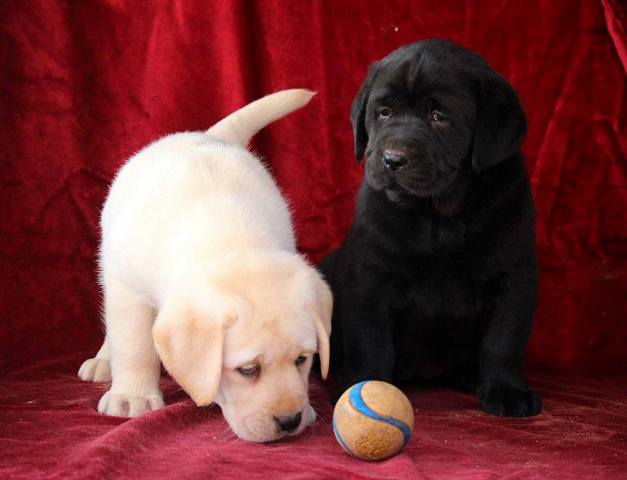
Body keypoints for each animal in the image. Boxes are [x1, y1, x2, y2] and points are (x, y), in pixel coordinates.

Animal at [77, 90, 334, 442]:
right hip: (111, 265)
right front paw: (132, 395)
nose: (290, 421)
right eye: (248, 370)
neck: (231, 234)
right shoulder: (130, 290)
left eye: (302, 360)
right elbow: (134, 344)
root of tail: (207, 135)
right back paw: (104, 360)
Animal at [322, 39, 544, 416]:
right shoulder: (369, 275)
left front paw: (506, 391)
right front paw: (365, 384)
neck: (439, 215)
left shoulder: (513, 276)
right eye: (384, 112)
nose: (392, 160)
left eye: (439, 117)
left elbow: (504, 339)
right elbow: (370, 338)